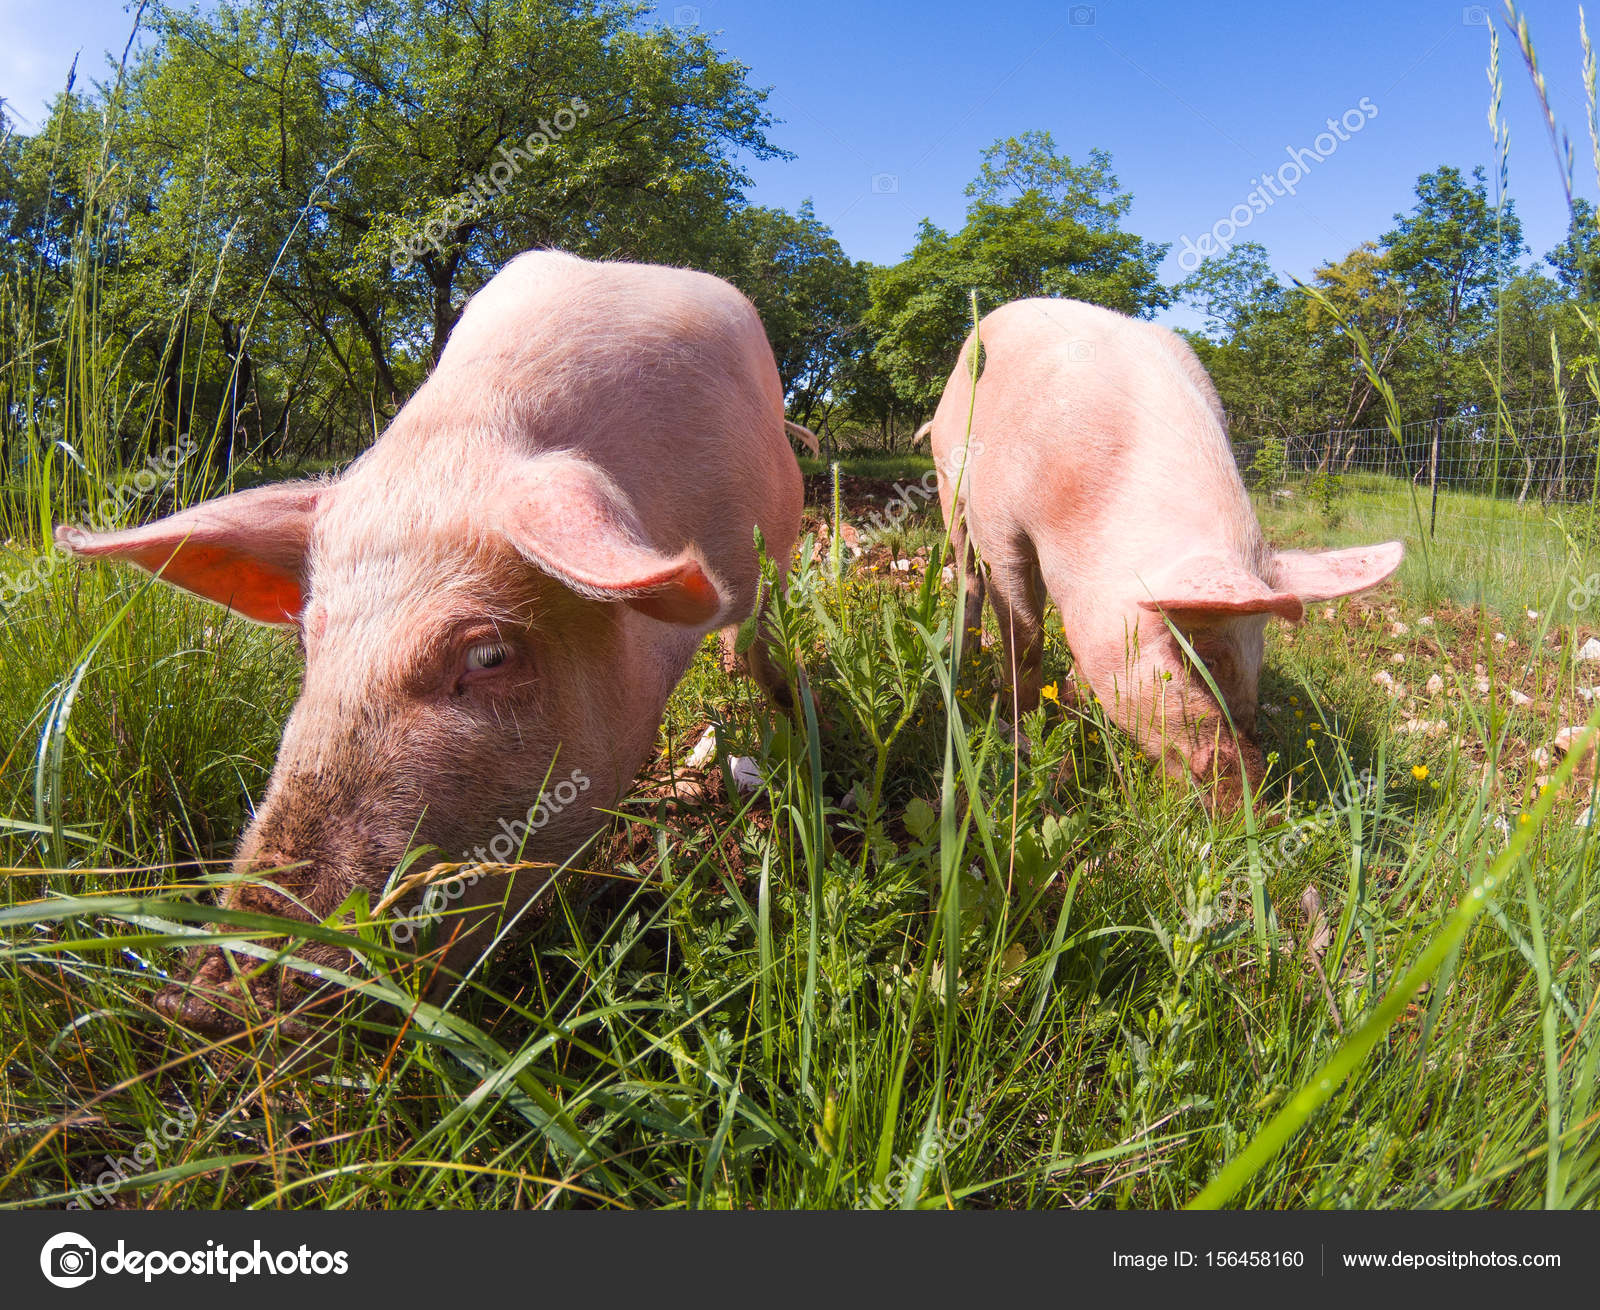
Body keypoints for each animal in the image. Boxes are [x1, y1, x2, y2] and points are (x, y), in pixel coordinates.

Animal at [56, 251, 810, 1035]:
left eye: (488, 655)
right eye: (306, 644)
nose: (202, 1000)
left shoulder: (774, 538)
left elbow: (768, 653)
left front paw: (794, 740)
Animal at [923, 298, 1402, 809]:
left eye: (1259, 660)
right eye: (1200, 657)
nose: (1256, 807)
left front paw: (1070, 711)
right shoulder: (999, 523)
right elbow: (1024, 637)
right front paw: (1024, 729)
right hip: (948, 482)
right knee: (969, 575)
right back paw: (966, 657)